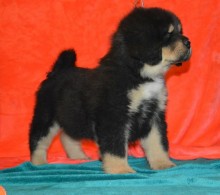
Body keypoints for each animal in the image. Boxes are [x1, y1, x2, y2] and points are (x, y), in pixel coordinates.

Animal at [28, 7, 191, 174]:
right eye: (168, 34)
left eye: (180, 31)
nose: (188, 42)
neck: (139, 74)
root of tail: (57, 71)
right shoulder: (115, 115)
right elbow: (116, 147)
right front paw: (121, 169)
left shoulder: (154, 114)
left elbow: (158, 143)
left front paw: (163, 164)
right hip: (46, 116)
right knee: (38, 139)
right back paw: (38, 163)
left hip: (73, 115)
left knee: (67, 136)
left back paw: (78, 157)